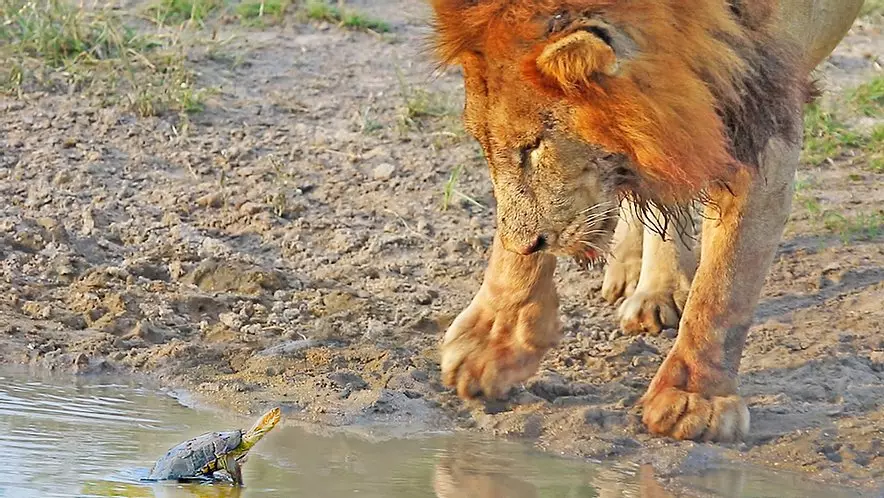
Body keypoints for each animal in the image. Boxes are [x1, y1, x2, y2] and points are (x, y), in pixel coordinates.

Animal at [428, 0, 864, 444]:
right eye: (484, 145)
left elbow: (723, 286)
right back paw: (644, 281)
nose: (525, 243)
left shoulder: (760, 114)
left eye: (533, 147)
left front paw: (694, 399)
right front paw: (493, 341)